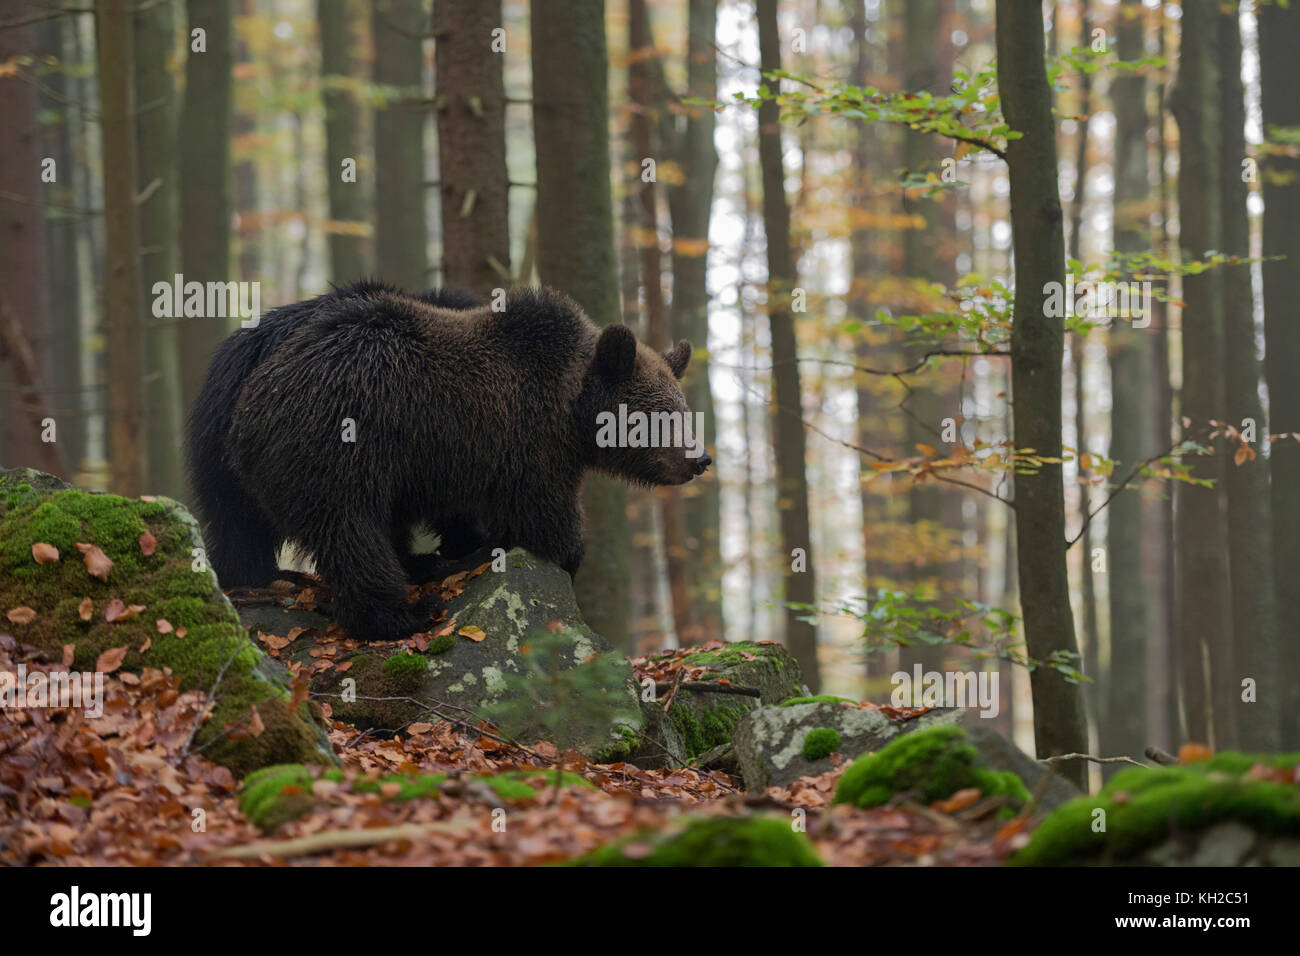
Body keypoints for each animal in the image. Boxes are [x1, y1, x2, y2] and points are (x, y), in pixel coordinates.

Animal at [186, 281, 710, 644]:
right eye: (657, 416)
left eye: (682, 410)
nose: (700, 458)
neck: (570, 408)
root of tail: (258, 393)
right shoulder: (526, 443)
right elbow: (542, 513)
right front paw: (564, 553)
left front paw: (468, 545)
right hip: (338, 443)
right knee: (351, 530)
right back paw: (400, 612)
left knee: (238, 521)